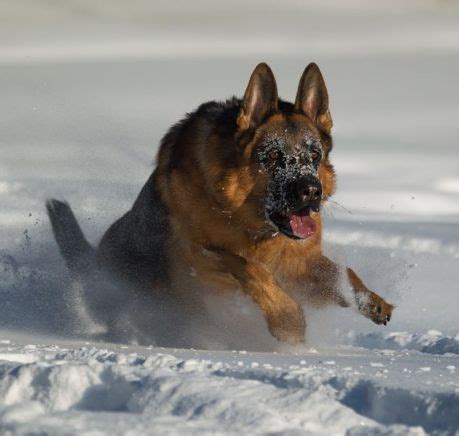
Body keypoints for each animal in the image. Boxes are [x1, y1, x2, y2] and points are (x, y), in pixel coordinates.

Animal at [47, 63, 396, 346]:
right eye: (273, 156)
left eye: (314, 155)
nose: (311, 192)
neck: (247, 218)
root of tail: (94, 262)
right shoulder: (202, 252)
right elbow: (253, 269)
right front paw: (288, 321)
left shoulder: (300, 263)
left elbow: (342, 273)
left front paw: (368, 300)